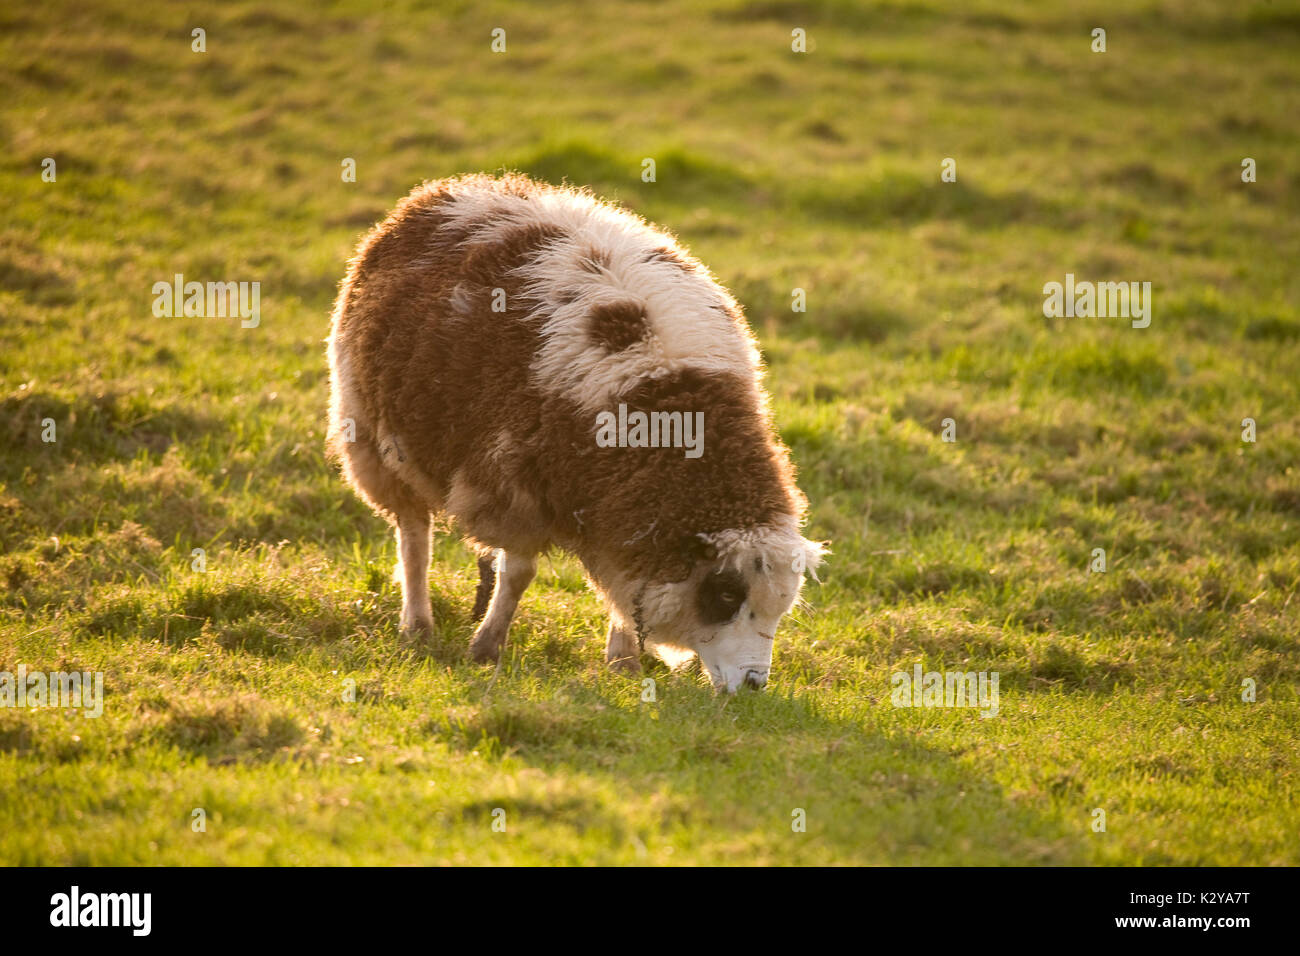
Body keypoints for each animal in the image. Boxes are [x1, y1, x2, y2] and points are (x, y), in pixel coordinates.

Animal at [326, 173, 825, 692]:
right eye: (726, 595)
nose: (754, 685)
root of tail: (453, 188)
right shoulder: (514, 487)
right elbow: (519, 574)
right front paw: (487, 649)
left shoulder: (618, 517)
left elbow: (621, 590)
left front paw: (623, 661)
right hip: (371, 435)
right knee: (414, 537)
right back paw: (417, 625)